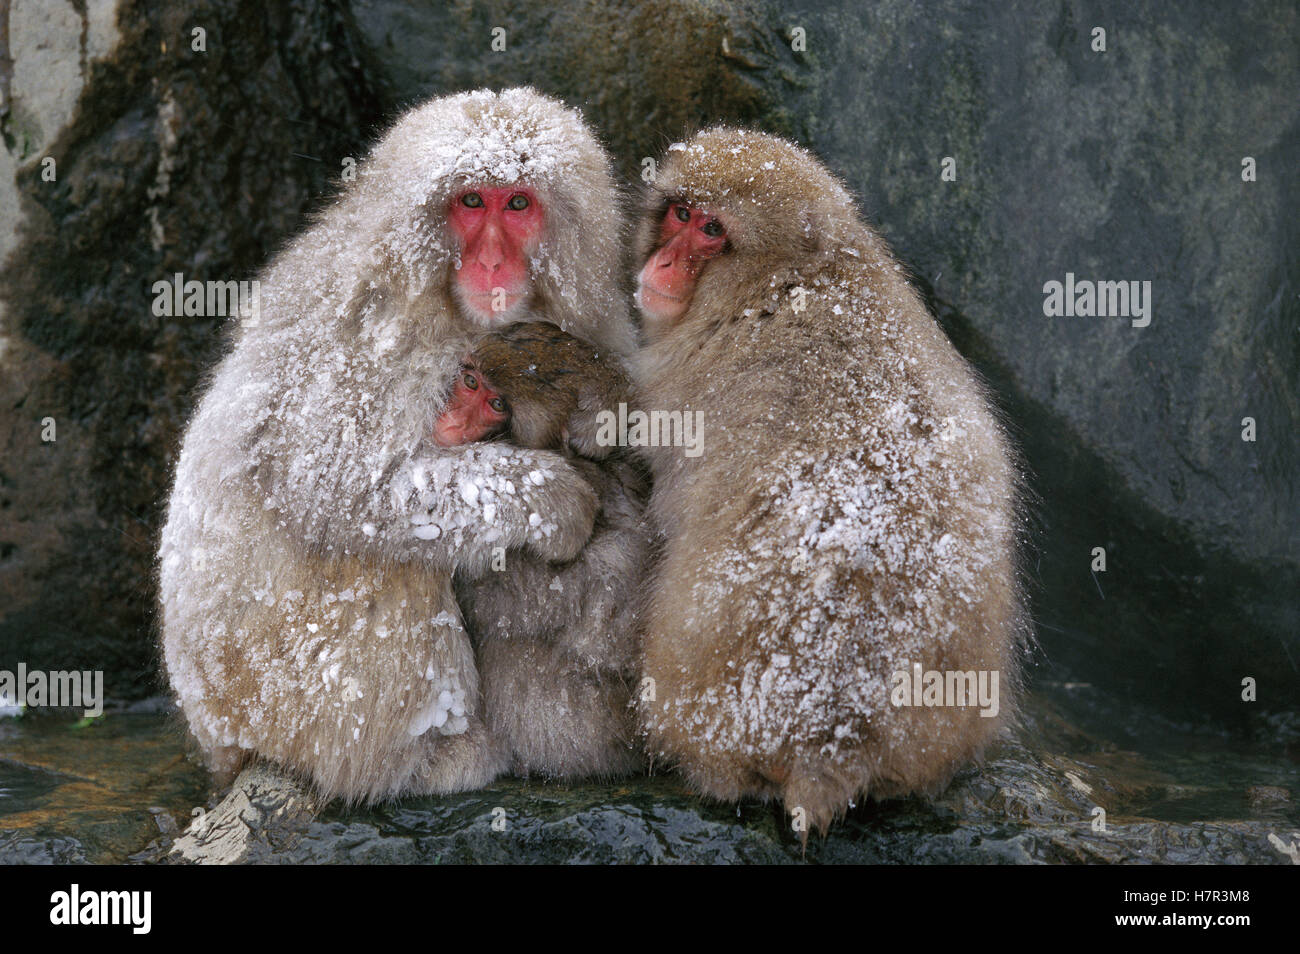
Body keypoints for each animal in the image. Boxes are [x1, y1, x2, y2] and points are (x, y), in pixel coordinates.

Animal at [630, 129, 1027, 837]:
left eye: (712, 229)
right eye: (679, 212)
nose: (665, 263)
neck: (787, 282)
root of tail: (835, 736)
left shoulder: (683, 385)